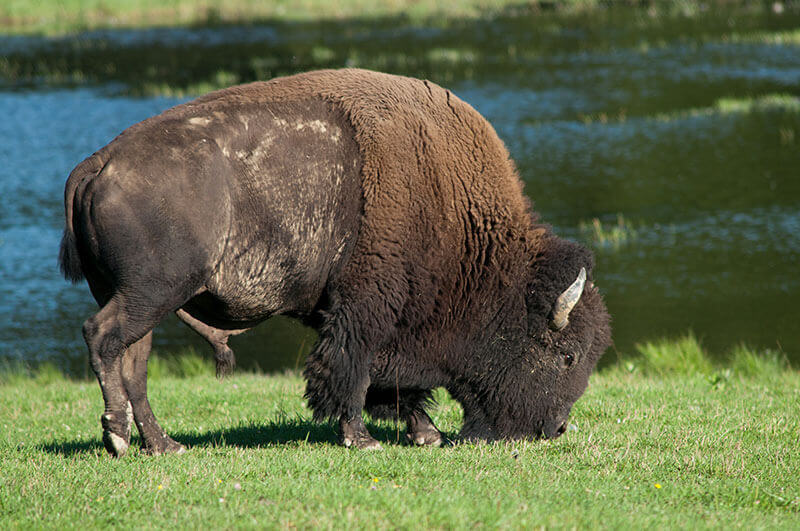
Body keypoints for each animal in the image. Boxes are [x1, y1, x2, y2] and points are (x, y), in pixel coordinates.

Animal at [59, 69, 611, 456]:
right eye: (566, 356)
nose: (555, 428)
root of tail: (98, 163)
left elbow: (395, 384)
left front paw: (425, 433)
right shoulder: (364, 310)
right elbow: (353, 371)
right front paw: (362, 438)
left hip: (139, 302)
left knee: (134, 364)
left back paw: (163, 445)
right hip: (149, 294)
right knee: (103, 339)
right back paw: (118, 439)